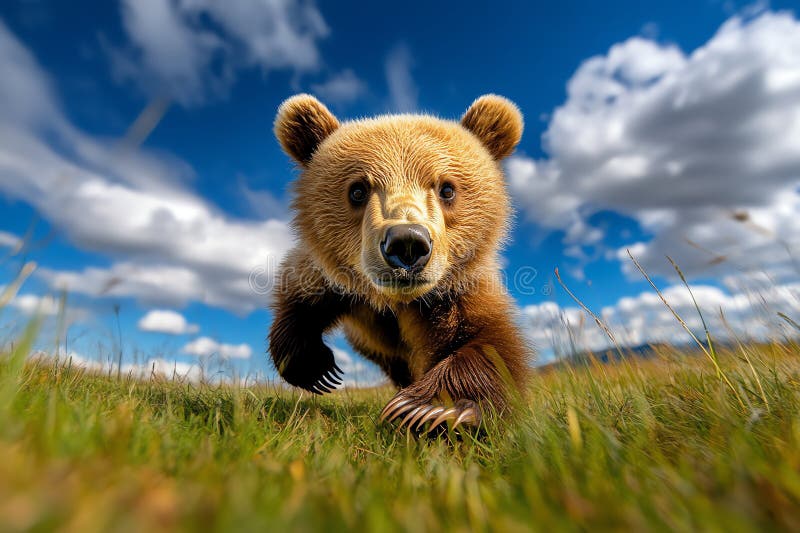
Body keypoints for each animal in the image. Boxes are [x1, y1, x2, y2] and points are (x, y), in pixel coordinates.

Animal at [268, 93, 531, 432]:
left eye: (447, 188)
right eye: (357, 190)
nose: (406, 243)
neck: (395, 303)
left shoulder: (457, 290)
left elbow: (492, 343)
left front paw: (429, 408)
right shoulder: (331, 276)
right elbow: (299, 294)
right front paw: (313, 365)